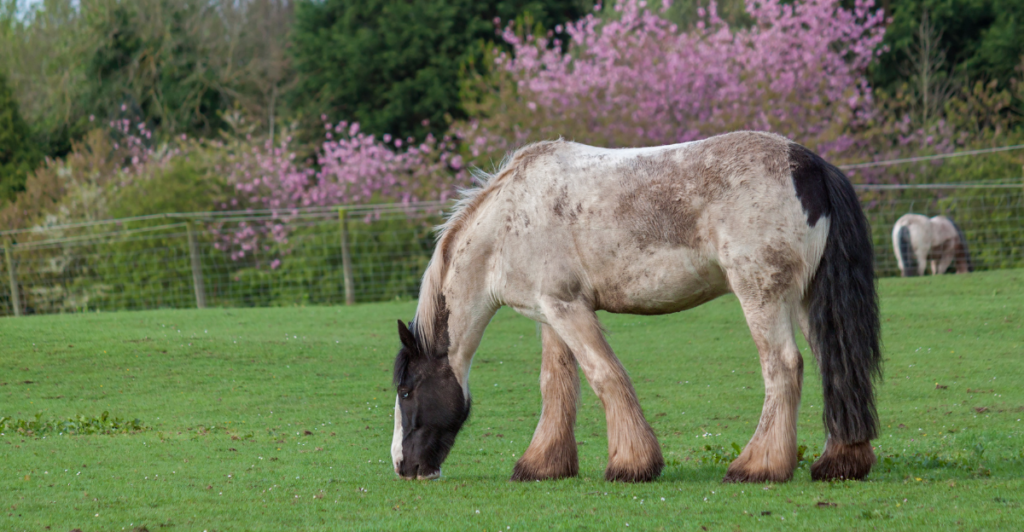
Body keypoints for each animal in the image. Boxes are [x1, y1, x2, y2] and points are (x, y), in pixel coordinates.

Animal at [391, 131, 882, 484]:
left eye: (407, 391)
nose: (402, 466)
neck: (509, 221)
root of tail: (810, 165)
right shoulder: (552, 313)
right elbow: (557, 385)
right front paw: (543, 465)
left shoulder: (566, 308)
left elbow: (605, 376)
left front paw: (631, 464)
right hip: (805, 299)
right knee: (834, 367)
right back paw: (840, 463)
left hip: (761, 294)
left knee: (783, 366)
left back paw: (758, 467)